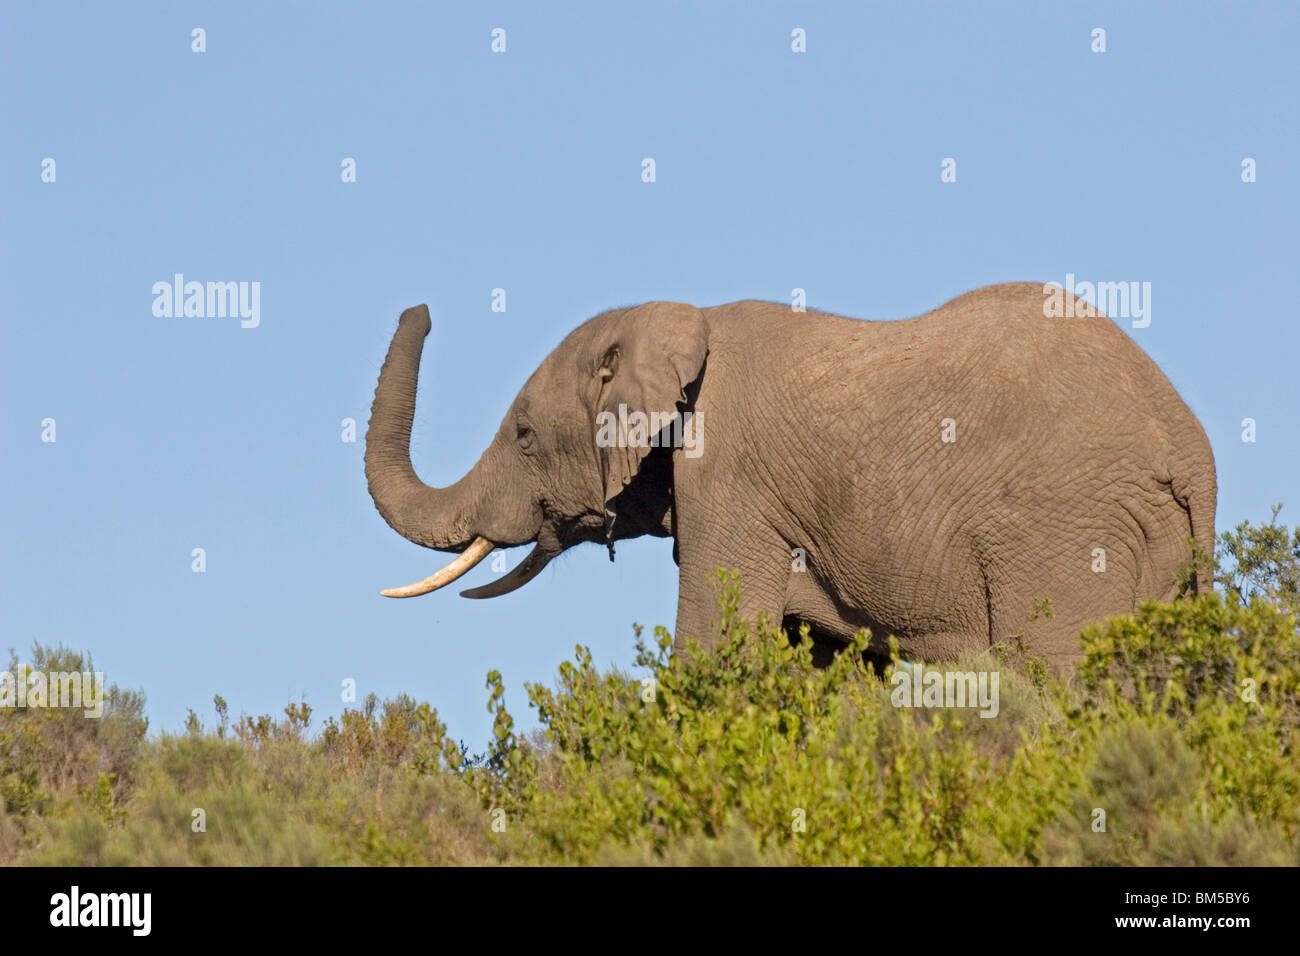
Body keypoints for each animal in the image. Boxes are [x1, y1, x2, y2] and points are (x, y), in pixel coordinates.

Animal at [364, 282, 1216, 668]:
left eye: (525, 436)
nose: (422, 306)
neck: (679, 319)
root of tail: (1190, 454)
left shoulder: (730, 481)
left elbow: (715, 640)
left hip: (1068, 534)